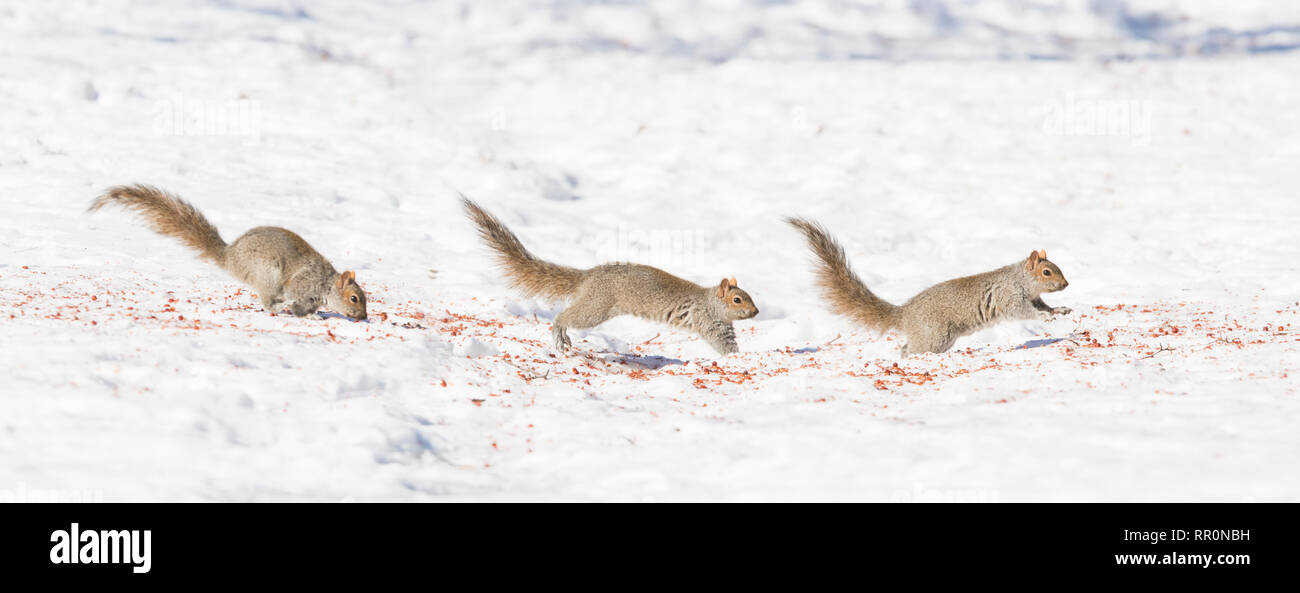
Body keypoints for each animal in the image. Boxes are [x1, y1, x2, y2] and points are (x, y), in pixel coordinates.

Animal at [89, 184, 367, 320]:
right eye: (354, 298)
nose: (364, 317)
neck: (325, 284)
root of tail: (230, 256)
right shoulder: (301, 285)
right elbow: (295, 304)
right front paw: (308, 316)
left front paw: (314, 315)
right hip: (267, 272)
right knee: (267, 303)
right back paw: (280, 304)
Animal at [462, 198, 759, 355]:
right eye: (737, 300)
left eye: (749, 296)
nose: (756, 312)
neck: (710, 301)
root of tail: (589, 276)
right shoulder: (708, 322)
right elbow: (722, 344)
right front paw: (734, 358)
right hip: (596, 307)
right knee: (564, 317)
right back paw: (559, 336)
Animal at [787, 217, 1070, 357]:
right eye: (1047, 272)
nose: (1066, 284)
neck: (1021, 280)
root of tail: (904, 314)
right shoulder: (1008, 296)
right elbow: (1024, 311)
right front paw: (1044, 318)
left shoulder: (1033, 297)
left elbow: (1044, 305)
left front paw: (1059, 310)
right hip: (935, 335)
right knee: (908, 349)